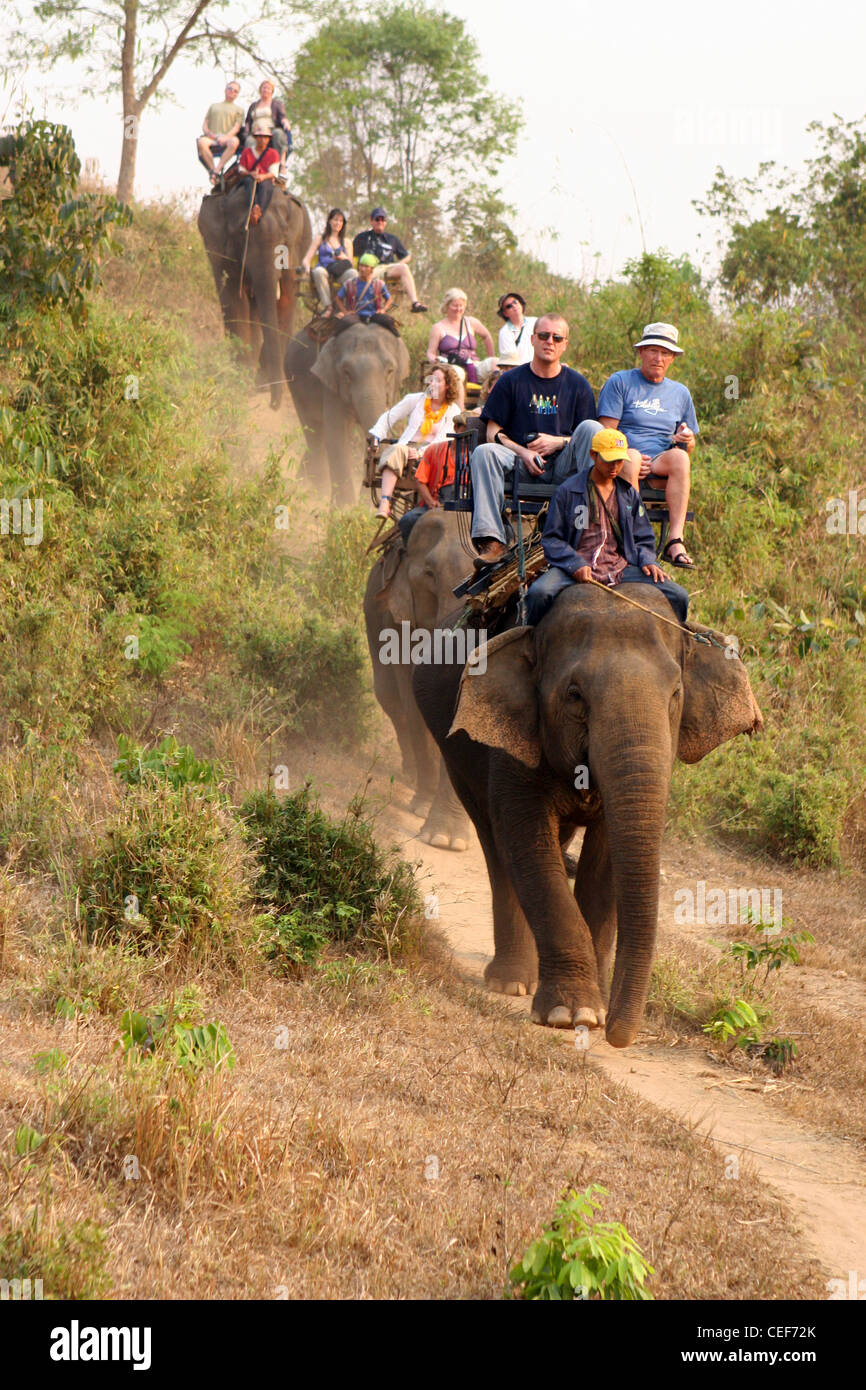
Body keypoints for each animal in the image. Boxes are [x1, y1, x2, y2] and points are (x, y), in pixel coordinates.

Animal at [198, 182, 311, 409]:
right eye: (243, 237)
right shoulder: (218, 248)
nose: (273, 405)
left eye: (284, 240)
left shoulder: (295, 250)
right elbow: (234, 298)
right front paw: (240, 380)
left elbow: (285, 299)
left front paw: (262, 384)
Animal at [294, 322, 409, 504]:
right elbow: (336, 436)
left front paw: (364, 505)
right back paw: (315, 491)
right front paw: (345, 507)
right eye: (346, 372)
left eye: (390, 371)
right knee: (315, 435)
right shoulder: (331, 388)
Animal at [364, 510, 474, 850]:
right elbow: (415, 700)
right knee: (390, 698)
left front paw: (448, 841)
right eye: (429, 574)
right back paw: (411, 777)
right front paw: (427, 814)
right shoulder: (401, 620)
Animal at [413, 582, 763, 1048]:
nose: (617, 1033)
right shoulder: (513, 738)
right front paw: (572, 1013)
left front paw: (593, 1008)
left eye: (675, 694)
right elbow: (527, 840)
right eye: (574, 695)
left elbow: (607, 858)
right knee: (496, 845)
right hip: (457, 751)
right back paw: (511, 981)